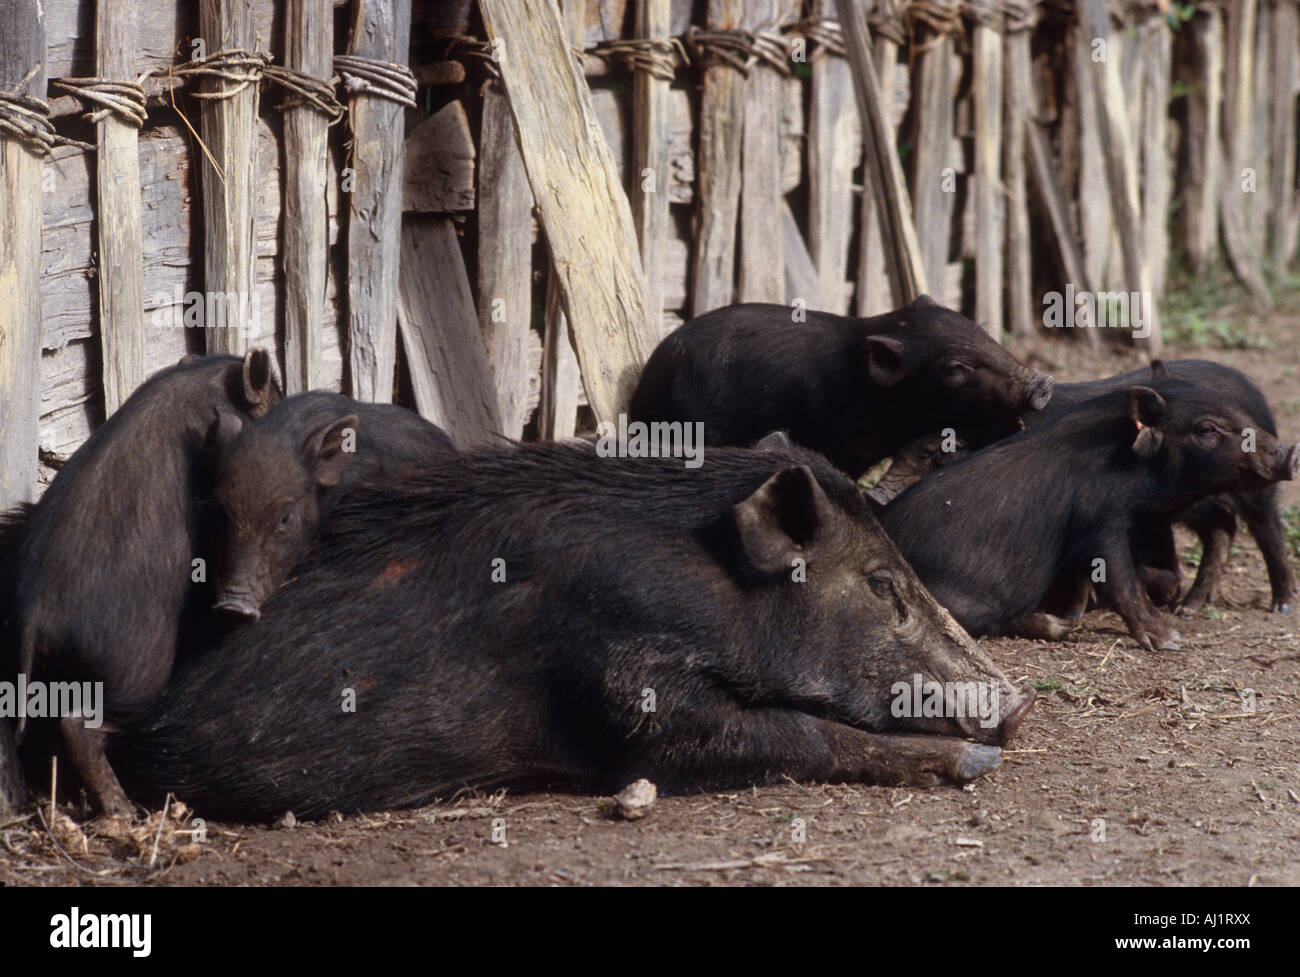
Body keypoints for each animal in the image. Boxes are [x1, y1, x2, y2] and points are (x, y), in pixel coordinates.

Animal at [880, 378, 1300, 651]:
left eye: (1241, 417)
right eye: (1207, 428)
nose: (1290, 452)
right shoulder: (1100, 523)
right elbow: (1123, 582)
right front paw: (1170, 641)